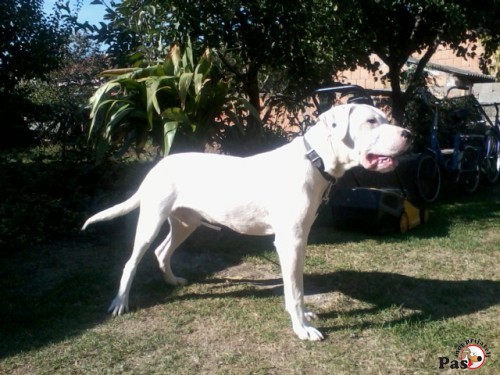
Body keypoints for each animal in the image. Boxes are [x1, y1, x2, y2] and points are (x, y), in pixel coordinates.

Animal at [83, 103, 410, 340]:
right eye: (371, 121)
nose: (408, 133)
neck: (314, 159)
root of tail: (159, 164)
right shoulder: (289, 242)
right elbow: (295, 291)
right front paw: (302, 329)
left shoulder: (300, 239)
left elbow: (298, 287)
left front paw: (304, 318)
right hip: (151, 220)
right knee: (131, 262)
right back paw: (120, 302)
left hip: (186, 223)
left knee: (162, 251)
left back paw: (172, 281)